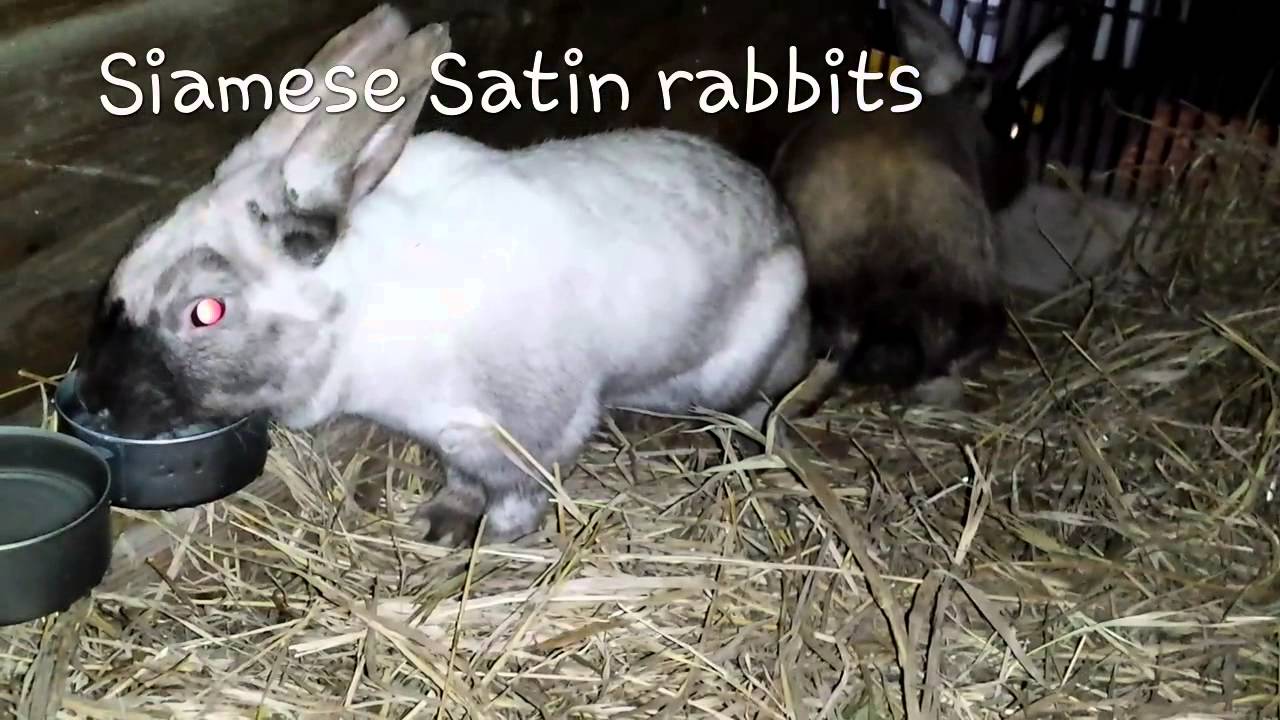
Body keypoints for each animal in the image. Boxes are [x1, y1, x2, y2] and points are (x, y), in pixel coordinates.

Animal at [73, 5, 813, 547]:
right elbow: (461, 482)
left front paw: (490, 545)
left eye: (206, 312)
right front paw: (437, 525)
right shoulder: (452, 440)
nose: (95, 399)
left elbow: (517, 493)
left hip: (739, 361)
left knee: (754, 404)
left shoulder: (523, 430)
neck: (362, 313)